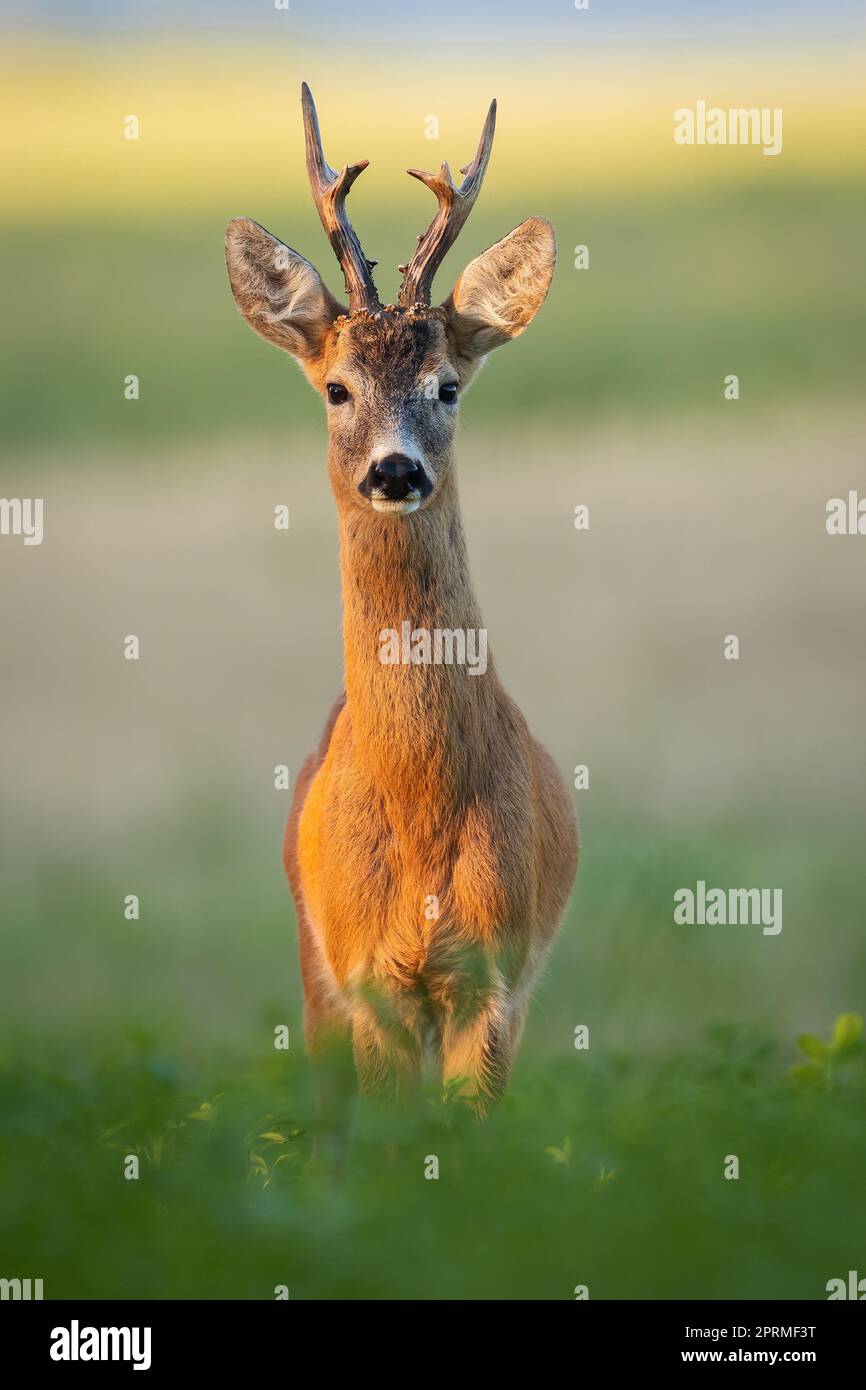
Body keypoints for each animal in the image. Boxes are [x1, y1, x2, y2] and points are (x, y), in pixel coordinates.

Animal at [225, 85, 578, 1130]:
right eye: (338, 388)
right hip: (314, 979)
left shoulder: (494, 977)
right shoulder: (367, 982)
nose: (394, 470)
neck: (421, 802)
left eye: (447, 386)